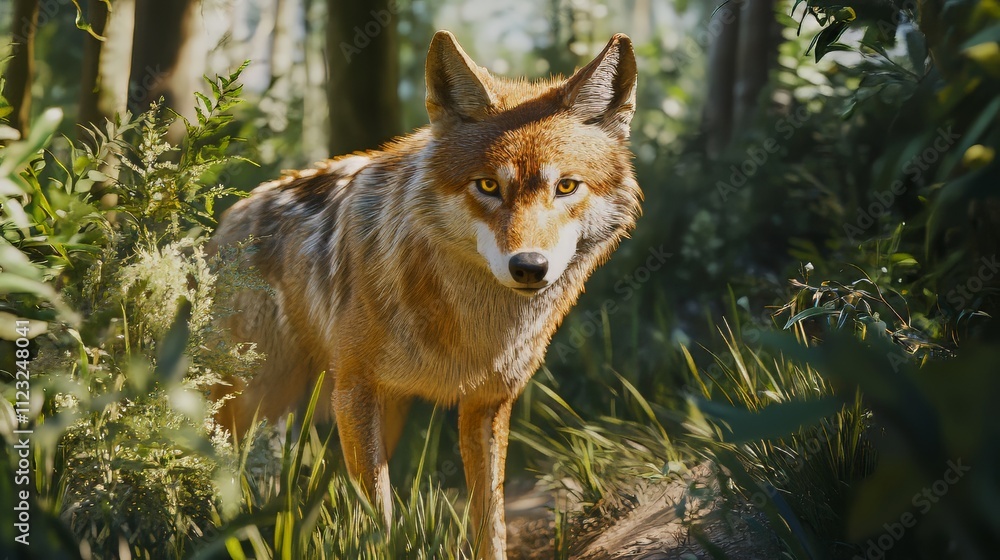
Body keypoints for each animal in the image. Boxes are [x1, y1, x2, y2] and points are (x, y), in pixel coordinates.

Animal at [209, 30, 641, 559]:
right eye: (488, 185)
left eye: (566, 187)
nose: (528, 267)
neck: (474, 325)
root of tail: (230, 219)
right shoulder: (355, 392)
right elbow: (380, 519)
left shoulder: (487, 404)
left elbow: (490, 520)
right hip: (264, 401)